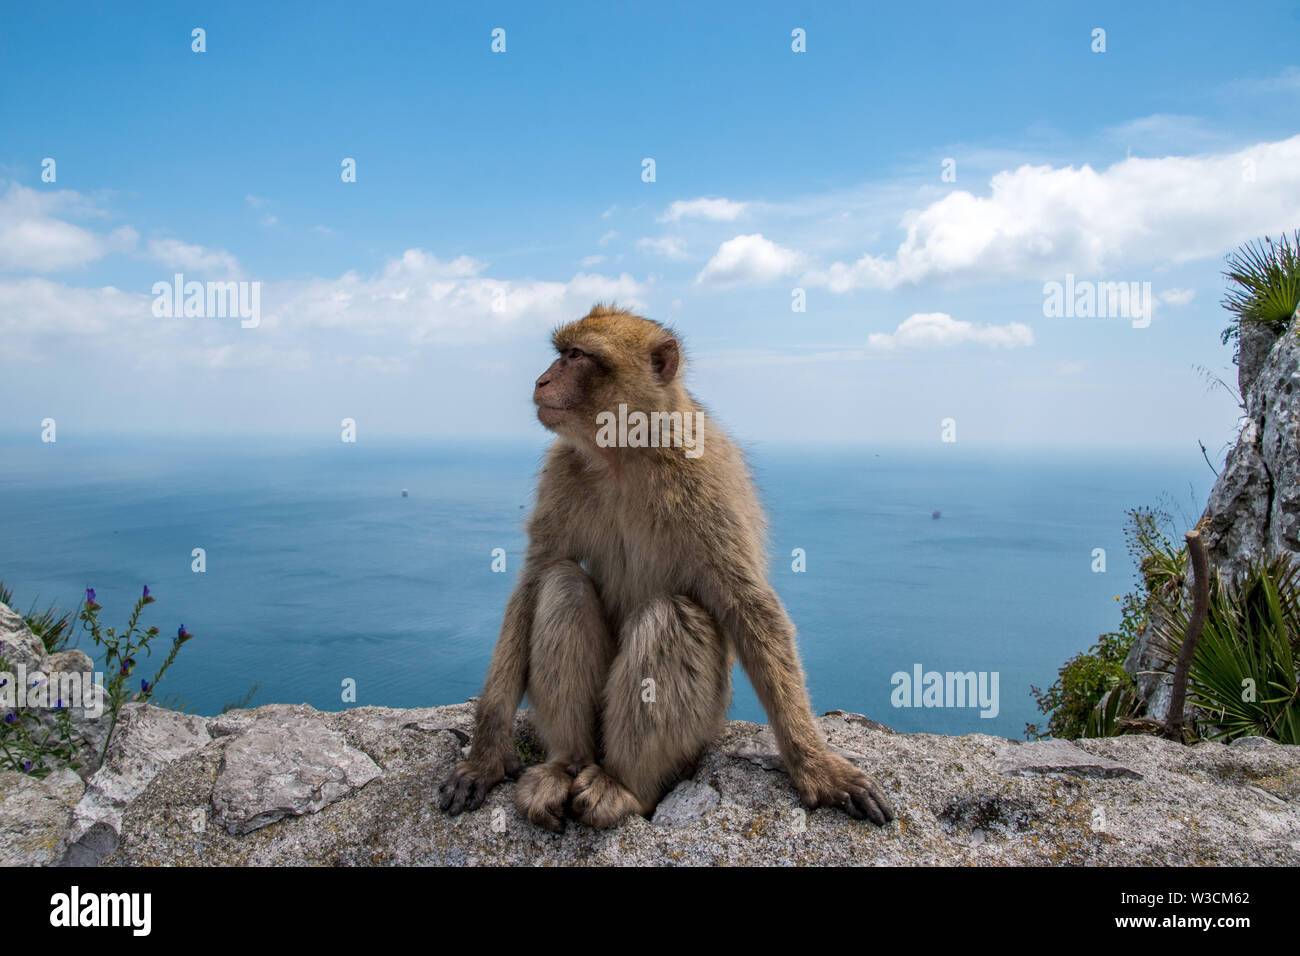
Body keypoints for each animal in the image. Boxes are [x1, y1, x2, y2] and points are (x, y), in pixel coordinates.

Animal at [438, 304, 893, 831]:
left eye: (577, 356)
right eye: (562, 353)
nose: (542, 380)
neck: (625, 454)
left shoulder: (704, 476)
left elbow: (748, 604)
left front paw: (816, 766)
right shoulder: (561, 470)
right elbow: (533, 582)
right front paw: (485, 758)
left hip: (703, 728)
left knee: (674, 615)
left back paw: (625, 787)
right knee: (564, 584)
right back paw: (566, 766)